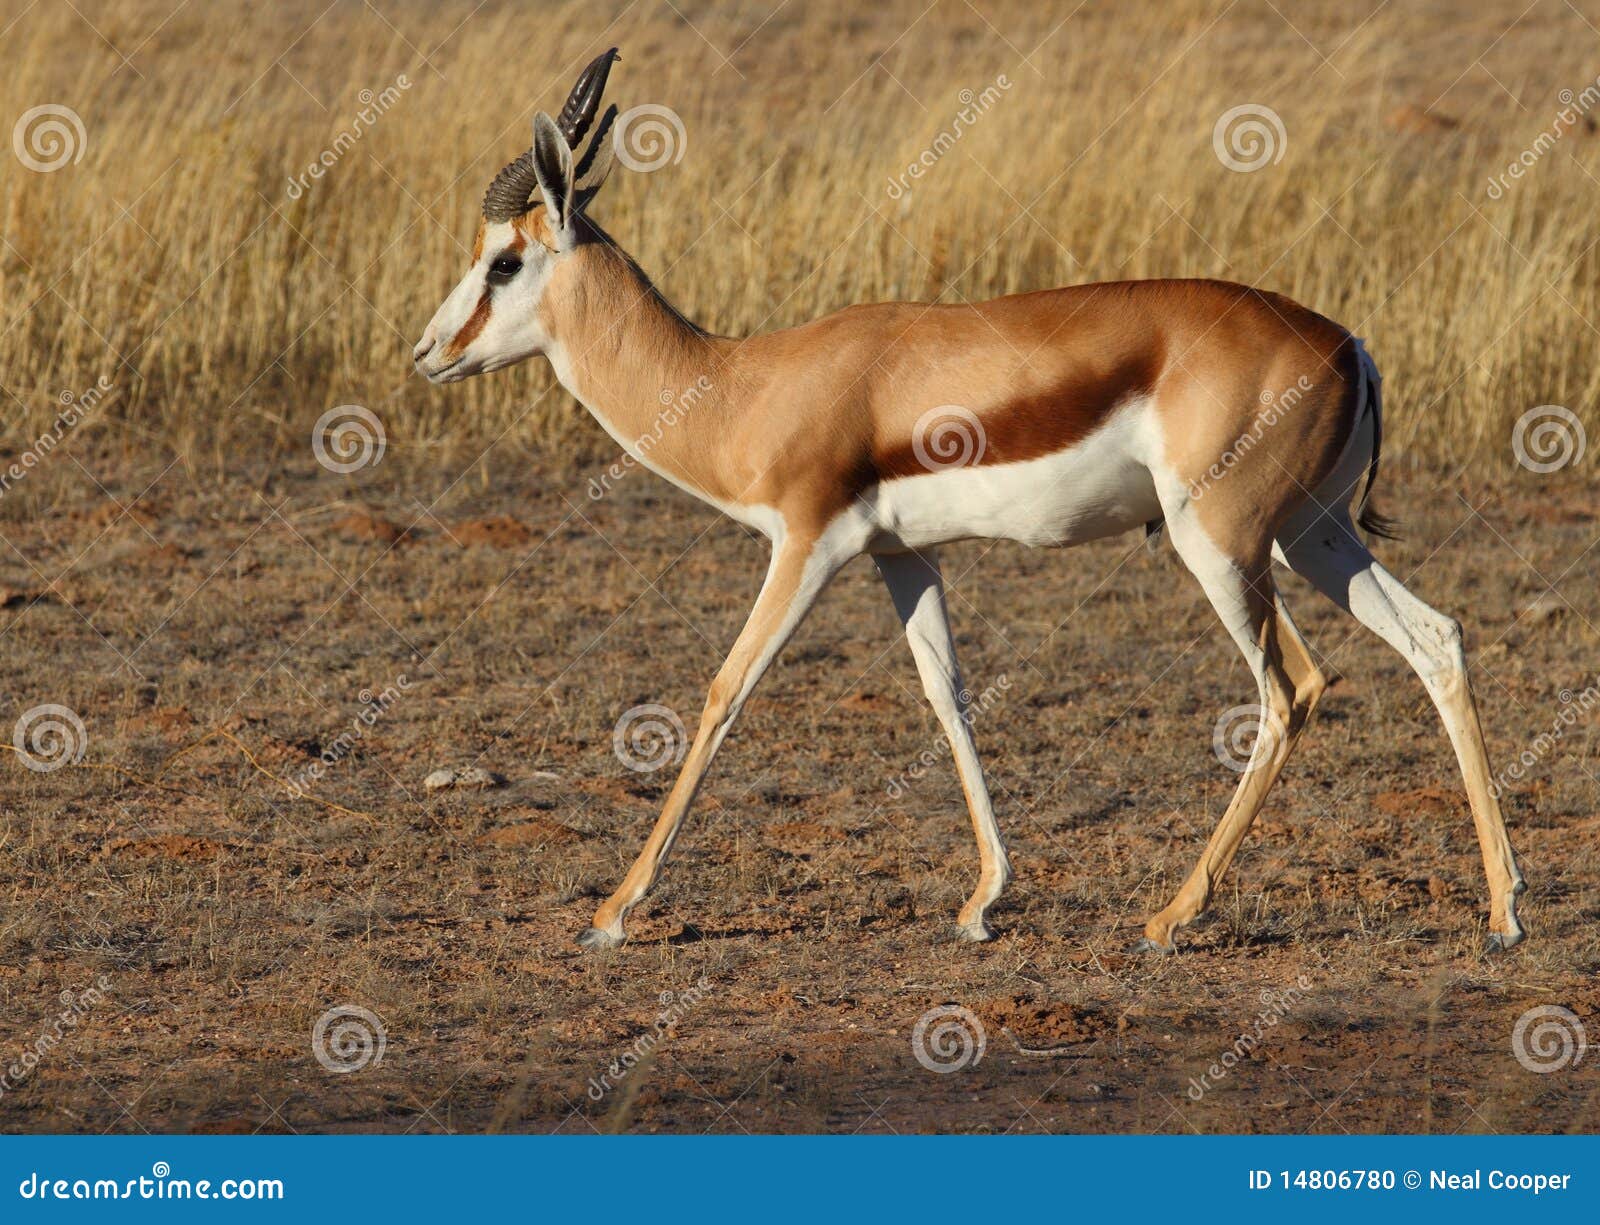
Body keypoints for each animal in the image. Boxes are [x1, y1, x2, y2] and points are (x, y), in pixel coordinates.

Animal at [413, 50, 1527, 954]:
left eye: (504, 259)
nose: (427, 353)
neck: (741, 385)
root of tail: (1349, 344)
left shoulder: (805, 545)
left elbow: (727, 690)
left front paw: (614, 909)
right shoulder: (902, 555)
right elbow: (946, 695)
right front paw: (984, 900)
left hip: (1220, 545)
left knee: (1288, 687)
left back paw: (1172, 916)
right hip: (1310, 538)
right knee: (1435, 639)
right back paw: (1504, 911)